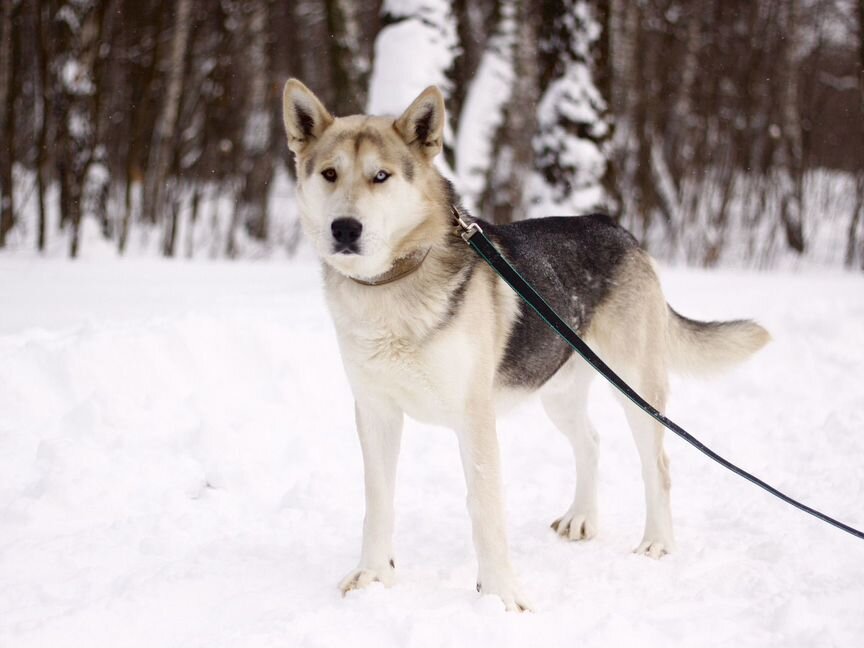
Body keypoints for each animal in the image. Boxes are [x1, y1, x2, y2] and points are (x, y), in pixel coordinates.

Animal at [282, 78, 768, 612]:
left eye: (381, 176)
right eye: (329, 174)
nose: (345, 228)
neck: (393, 288)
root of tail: (615, 226)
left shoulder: (474, 419)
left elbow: (484, 509)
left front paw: (499, 596)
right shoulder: (375, 412)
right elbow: (378, 501)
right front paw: (373, 577)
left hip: (635, 388)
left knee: (657, 465)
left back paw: (657, 542)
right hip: (558, 392)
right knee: (591, 442)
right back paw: (582, 518)